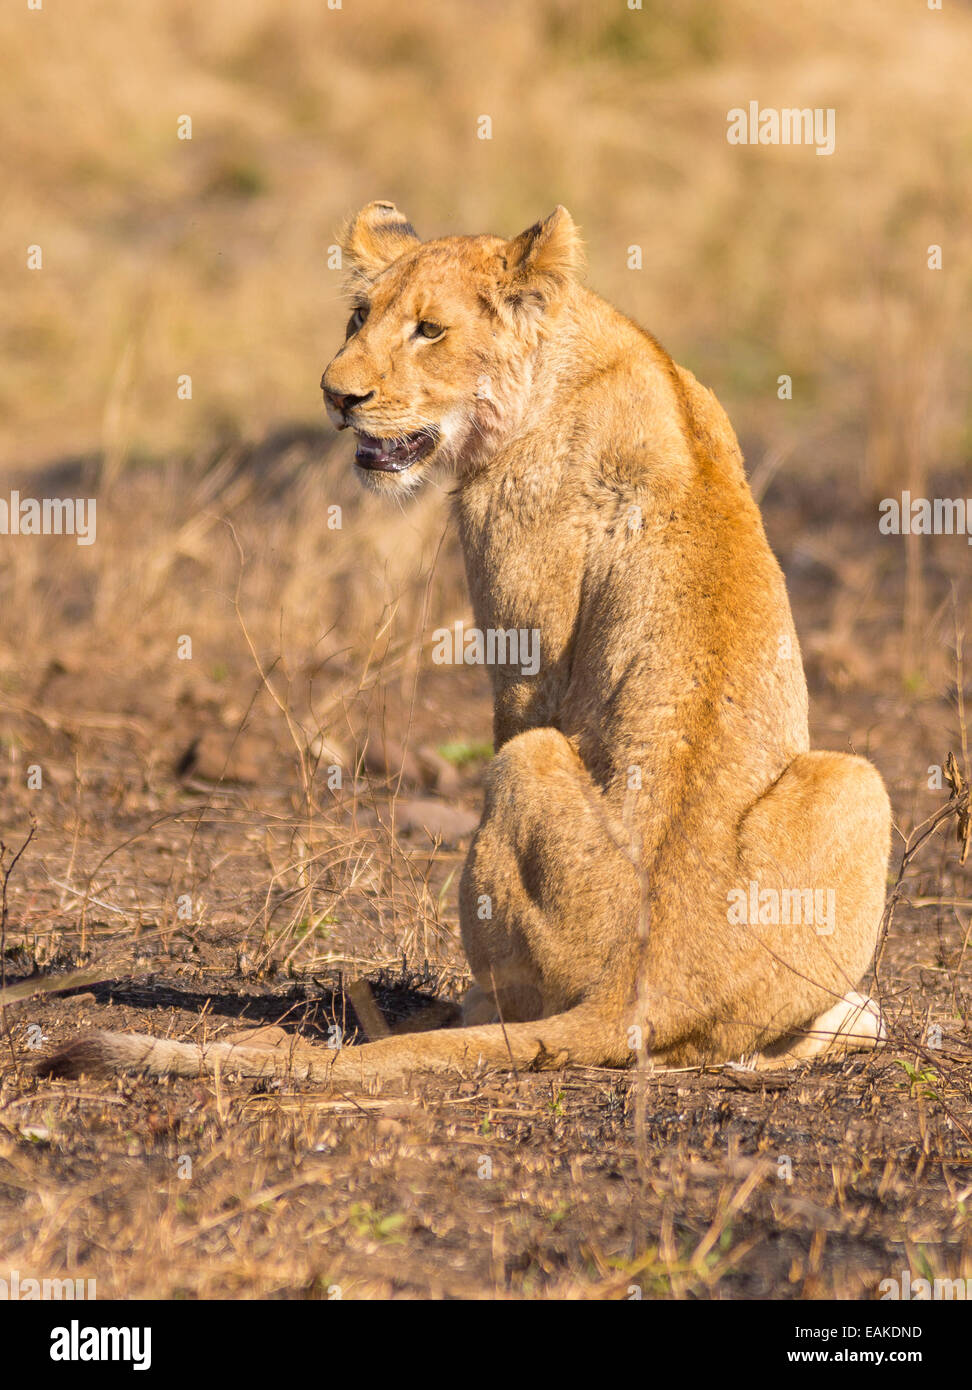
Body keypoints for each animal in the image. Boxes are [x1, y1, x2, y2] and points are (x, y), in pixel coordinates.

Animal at [40, 202, 891, 1086]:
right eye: (358, 316)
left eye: (430, 330)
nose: (337, 396)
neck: (575, 354)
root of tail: (641, 987)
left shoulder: (525, 644)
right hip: (858, 783)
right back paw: (846, 1019)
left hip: (530, 767)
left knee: (504, 998)